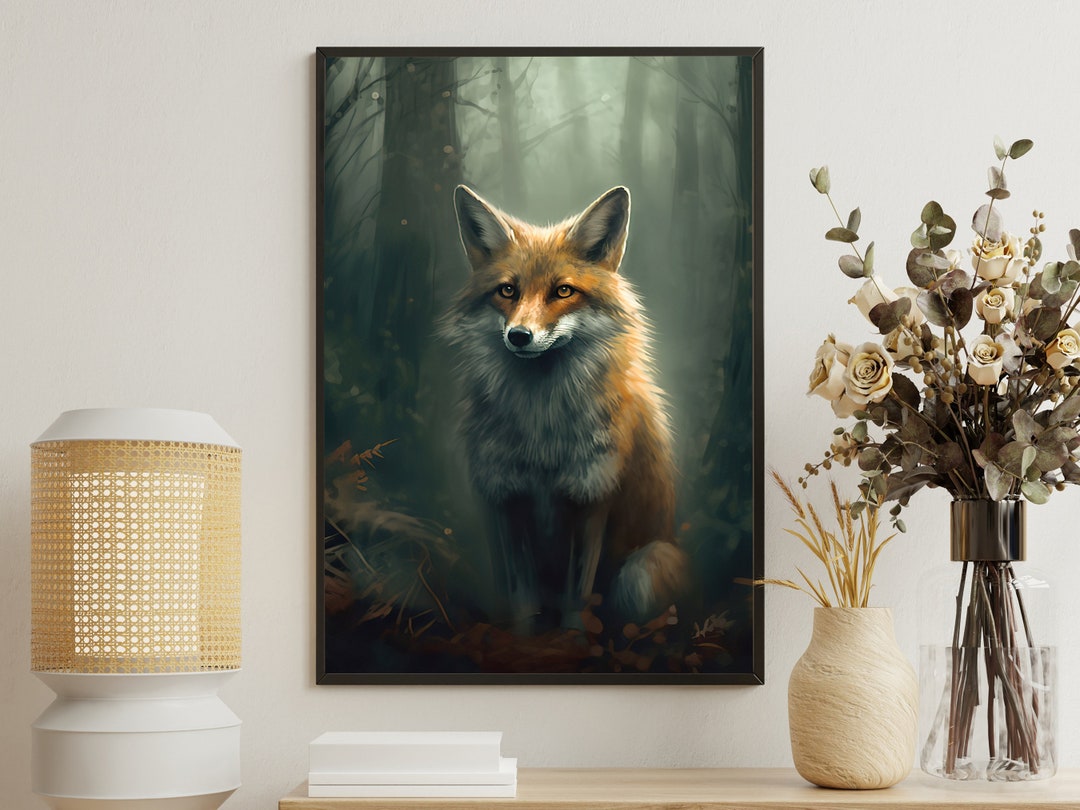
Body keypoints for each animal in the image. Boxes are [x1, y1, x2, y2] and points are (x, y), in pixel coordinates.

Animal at [439, 184, 689, 634]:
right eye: (507, 291)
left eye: (563, 291)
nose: (519, 336)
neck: (542, 432)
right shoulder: (506, 498)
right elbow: (522, 601)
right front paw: (525, 638)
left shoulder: (592, 495)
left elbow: (577, 598)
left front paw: (572, 639)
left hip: (644, 569)